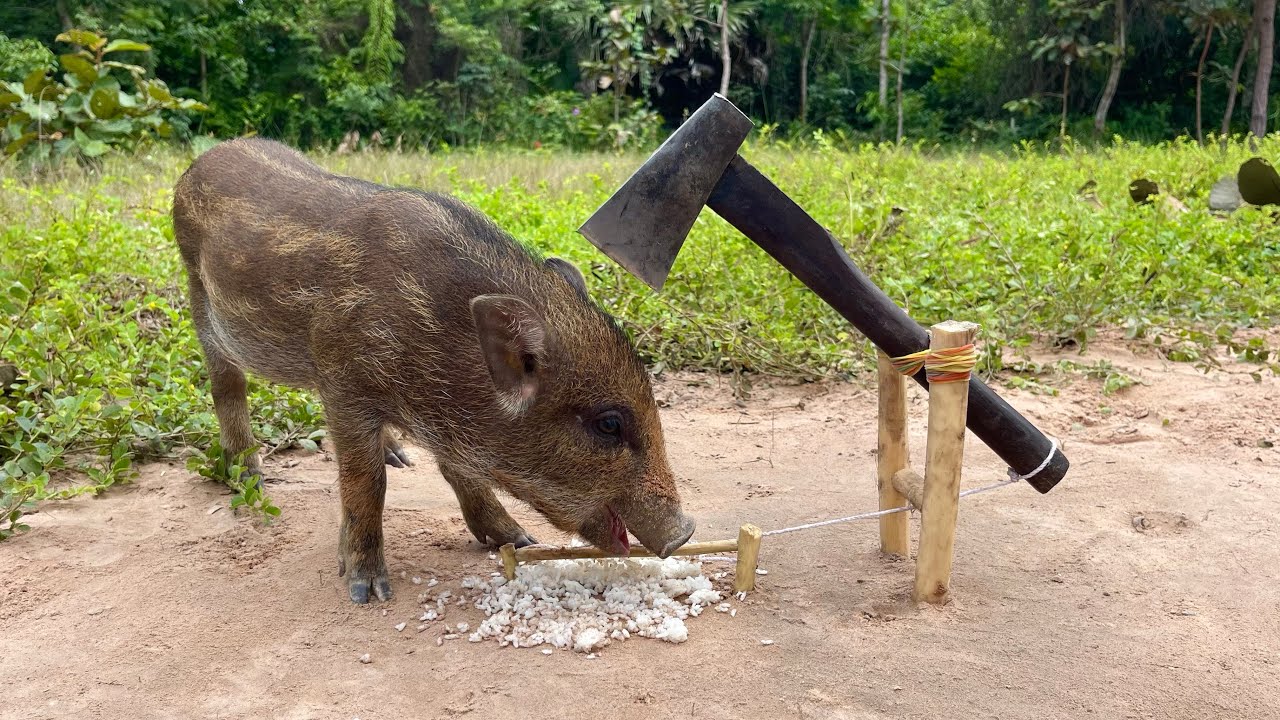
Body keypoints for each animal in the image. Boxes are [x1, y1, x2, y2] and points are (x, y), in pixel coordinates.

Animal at [171, 137, 696, 603]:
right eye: (608, 424)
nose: (684, 534)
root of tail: (201, 161)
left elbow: (459, 471)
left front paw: (519, 541)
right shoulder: (344, 383)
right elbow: (366, 484)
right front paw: (367, 592)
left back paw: (399, 456)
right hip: (201, 302)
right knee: (226, 385)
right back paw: (250, 476)